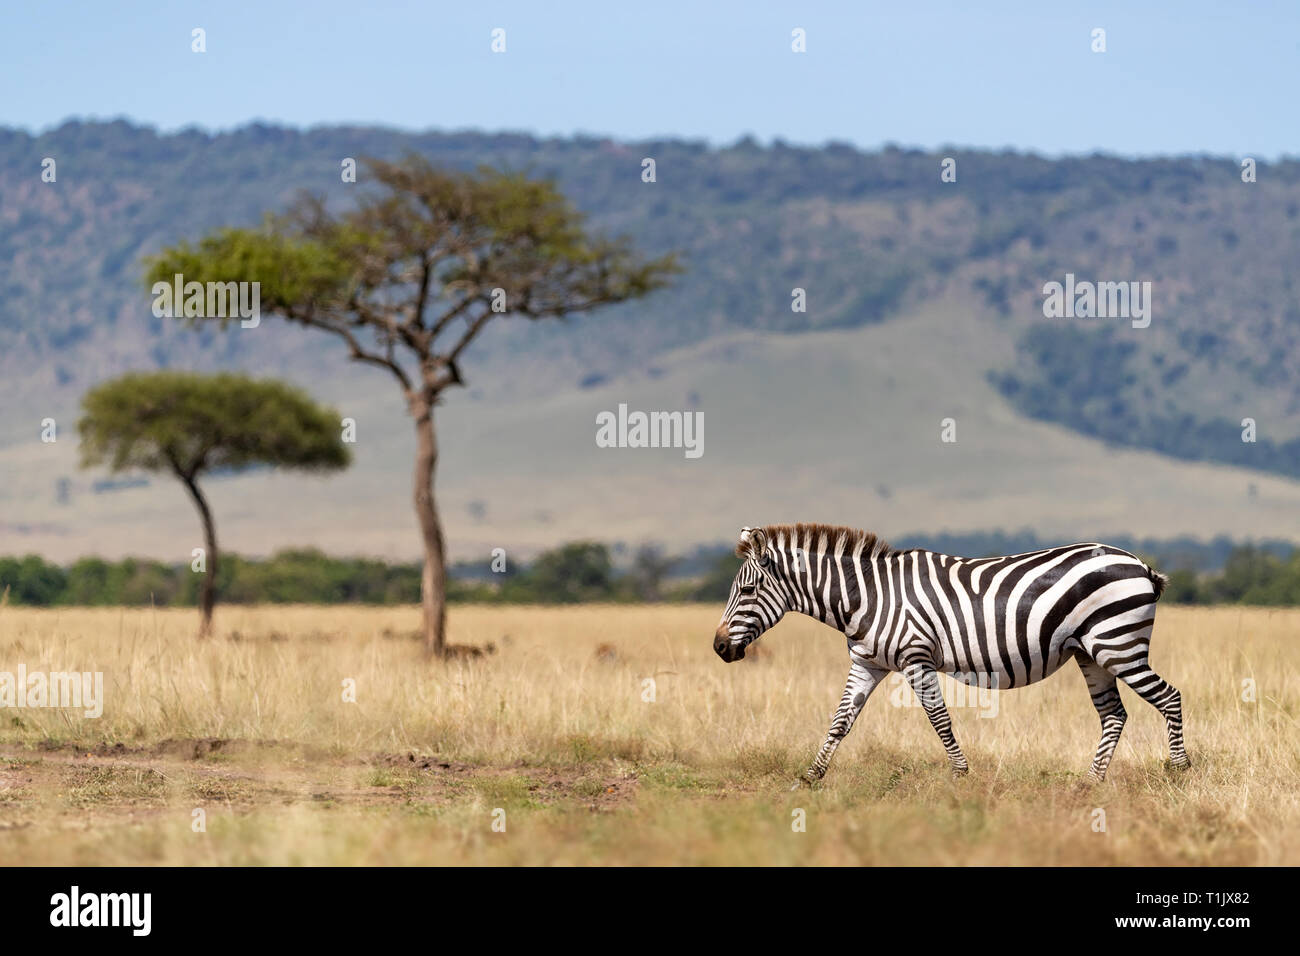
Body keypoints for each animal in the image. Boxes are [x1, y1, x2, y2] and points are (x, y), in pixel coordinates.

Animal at [712, 523, 1189, 786]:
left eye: (748, 590)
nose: (718, 648)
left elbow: (939, 718)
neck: (866, 597)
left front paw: (960, 775)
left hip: (1119, 645)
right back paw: (1090, 783)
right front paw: (812, 777)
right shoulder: (867, 664)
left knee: (1170, 697)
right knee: (1114, 715)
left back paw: (1179, 769)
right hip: (1091, 653)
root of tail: (1140, 565)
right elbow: (840, 722)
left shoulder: (915, 658)